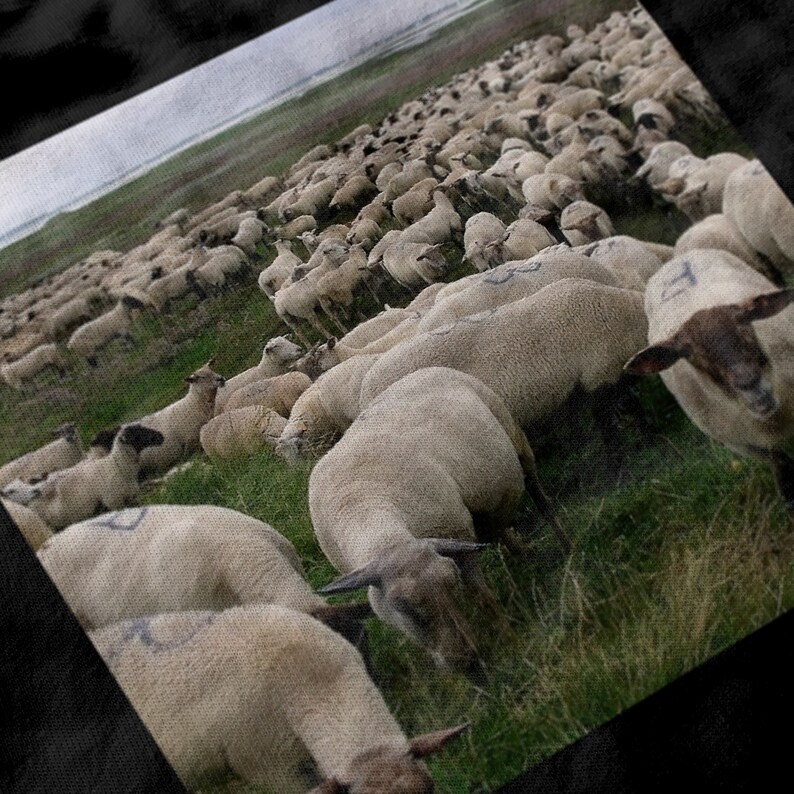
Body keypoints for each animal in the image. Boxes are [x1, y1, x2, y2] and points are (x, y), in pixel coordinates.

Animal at [311, 367, 570, 675]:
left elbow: (483, 599)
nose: (468, 661)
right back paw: (521, 550)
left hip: (515, 438)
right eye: (403, 608)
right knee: (495, 524)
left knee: (541, 500)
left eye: (451, 585)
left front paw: (512, 640)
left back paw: (567, 546)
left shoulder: (457, 541)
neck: (365, 507)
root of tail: (421, 372)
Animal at [624, 248, 794, 507]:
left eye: (746, 324)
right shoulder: (742, 443)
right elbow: (781, 463)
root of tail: (673, 261)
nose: (751, 386)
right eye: (689, 353)